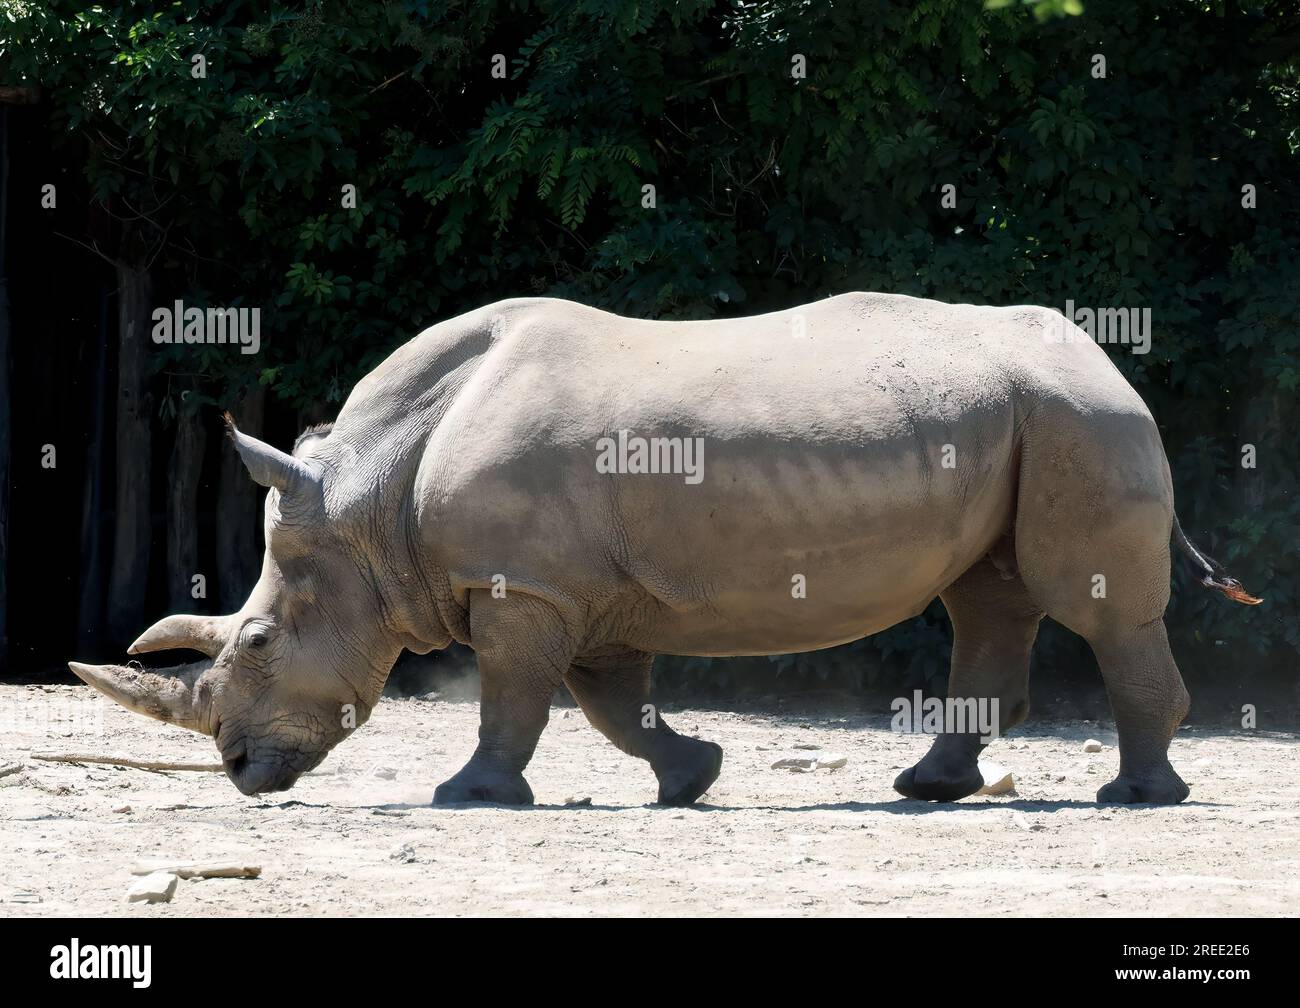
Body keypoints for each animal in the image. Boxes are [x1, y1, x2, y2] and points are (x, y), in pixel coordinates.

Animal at [70, 293, 1259, 805]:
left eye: (259, 641)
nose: (240, 776)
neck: (369, 501)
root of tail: (1110, 364)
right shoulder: (575, 590)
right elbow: (609, 703)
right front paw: (694, 778)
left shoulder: (524, 586)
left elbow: (515, 698)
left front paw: (470, 797)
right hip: (1026, 415)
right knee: (990, 597)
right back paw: (928, 788)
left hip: (1078, 418)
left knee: (1094, 604)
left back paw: (1137, 796)